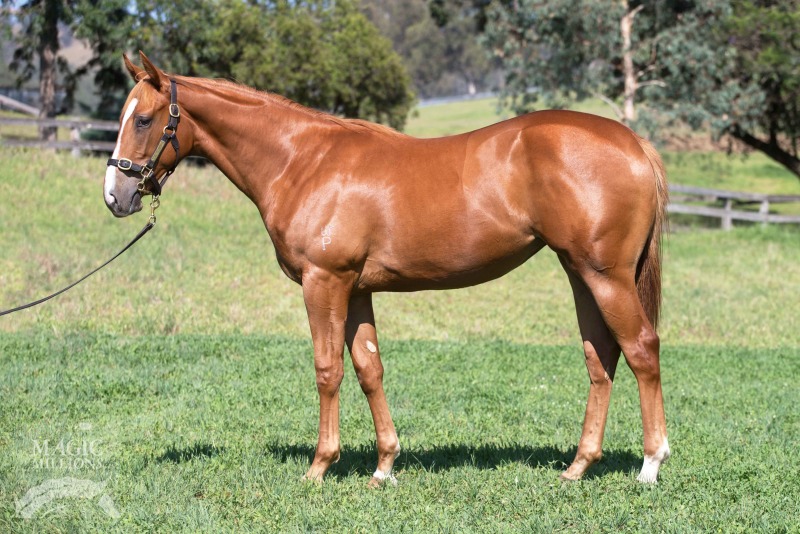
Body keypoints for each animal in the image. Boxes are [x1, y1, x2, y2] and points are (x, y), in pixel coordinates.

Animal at [105, 52, 670, 486]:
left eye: (143, 119)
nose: (116, 195)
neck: (303, 161)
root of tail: (633, 142)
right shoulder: (356, 290)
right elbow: (369, 369)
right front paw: (384, 467)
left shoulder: (324, 282)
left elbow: (328, 369)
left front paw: (319, 467)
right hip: (580, 274)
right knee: (601, 358)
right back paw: (578, 467)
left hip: (605, 276)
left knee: (641, 350)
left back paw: (650, 465)